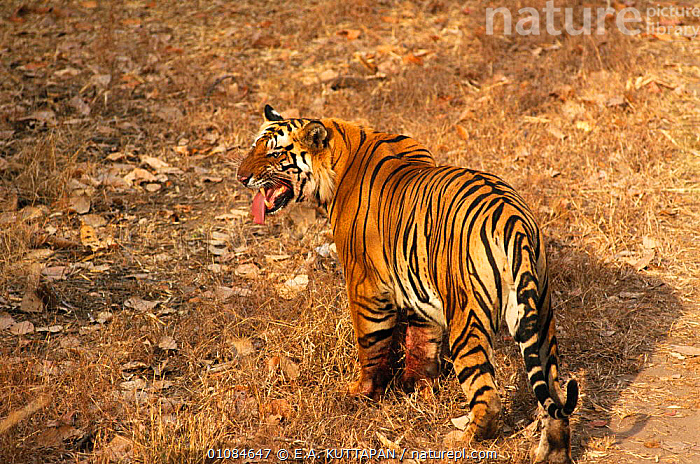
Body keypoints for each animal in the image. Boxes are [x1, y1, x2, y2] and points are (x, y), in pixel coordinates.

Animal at [237, 105, 578, 464]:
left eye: (275, 153)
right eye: (254, 146)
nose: (242, 177)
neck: (341, 152)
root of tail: (513, 221)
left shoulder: (364, 284)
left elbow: (370, 344)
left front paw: (361, 393)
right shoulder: (418, 286)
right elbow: (422, 341)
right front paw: (416, 385)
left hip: (467, 320)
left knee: (487, 397)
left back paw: (462, 440)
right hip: (540, 315)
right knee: (554, 395)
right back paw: (553, 453)